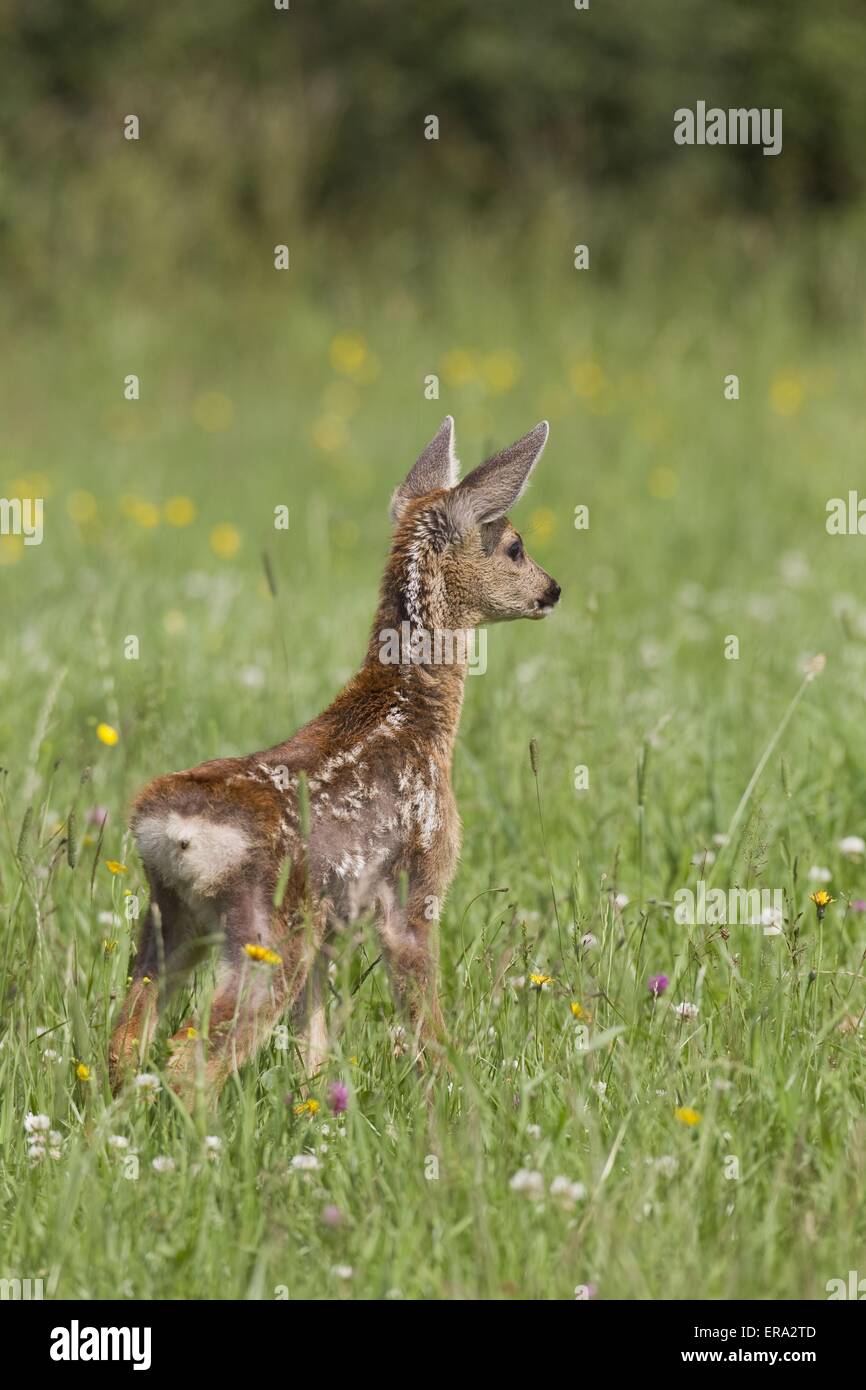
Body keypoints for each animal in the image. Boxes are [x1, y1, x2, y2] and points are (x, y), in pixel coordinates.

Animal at [108, 417, 560, 1104]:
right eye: (513, 545)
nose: (552, 589)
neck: (411, 716)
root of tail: (174, 832)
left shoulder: (331, 925)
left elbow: (313, 1044)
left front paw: (318, 1104)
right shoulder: (418, 883)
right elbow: (424, 1019)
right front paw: (454, 1097)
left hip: (173, 920)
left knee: (124, 1040)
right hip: (267, 933)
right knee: (191, 1060)